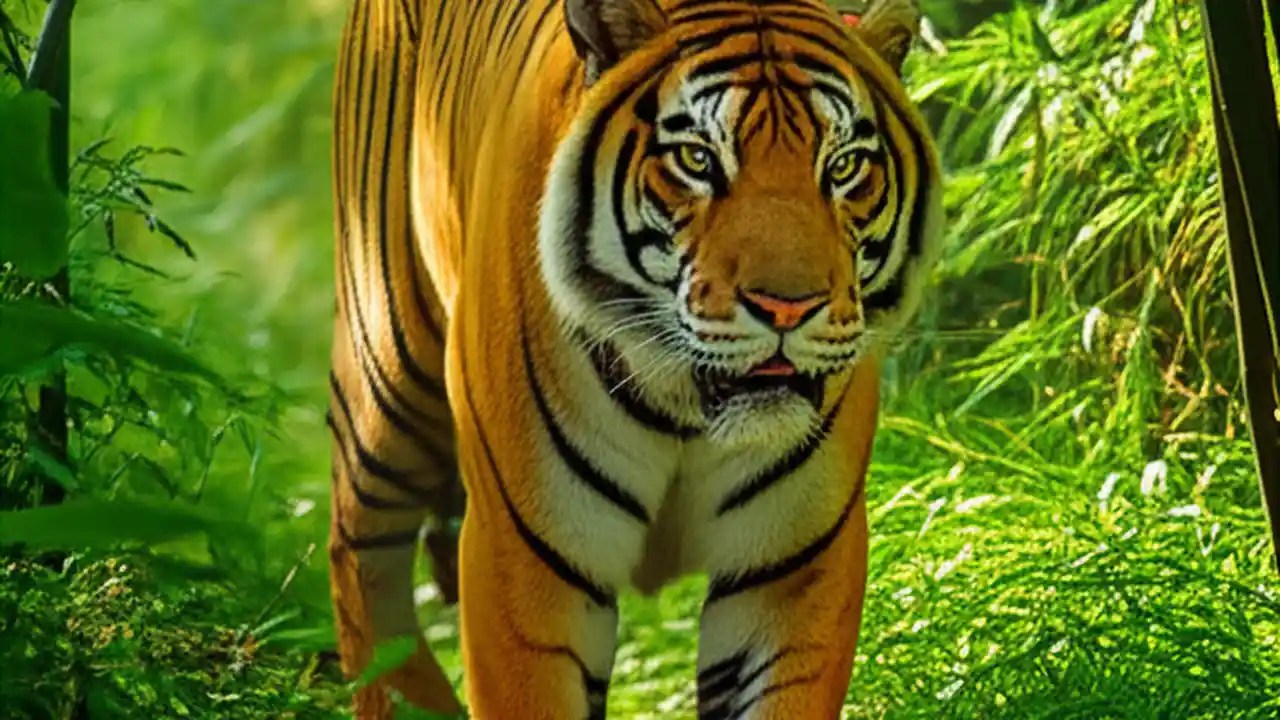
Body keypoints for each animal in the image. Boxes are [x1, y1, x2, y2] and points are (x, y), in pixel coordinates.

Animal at [325, 0, 942, 717]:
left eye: (843, 168)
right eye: (697, 159)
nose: (788, 309)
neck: (685, 409)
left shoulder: (793, 565)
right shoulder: (524, 558)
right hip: (388, 364)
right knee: (359, 553)